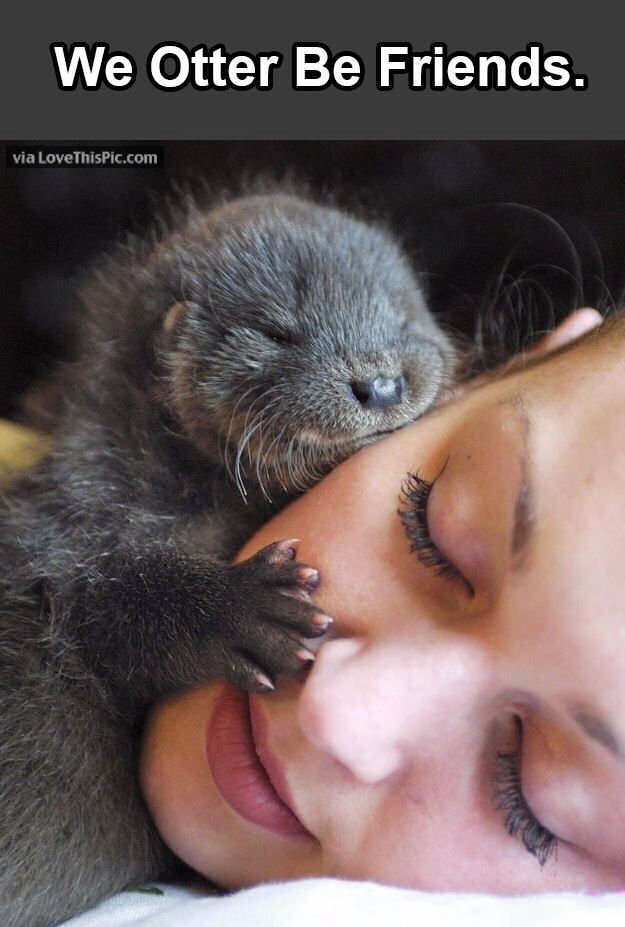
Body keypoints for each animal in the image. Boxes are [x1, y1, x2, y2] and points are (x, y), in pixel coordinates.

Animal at [0, 184, 457, 926]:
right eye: (278, 331)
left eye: (401, 316)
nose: (381, 384)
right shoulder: (71, 529)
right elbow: (108, 606)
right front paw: (244, 608)